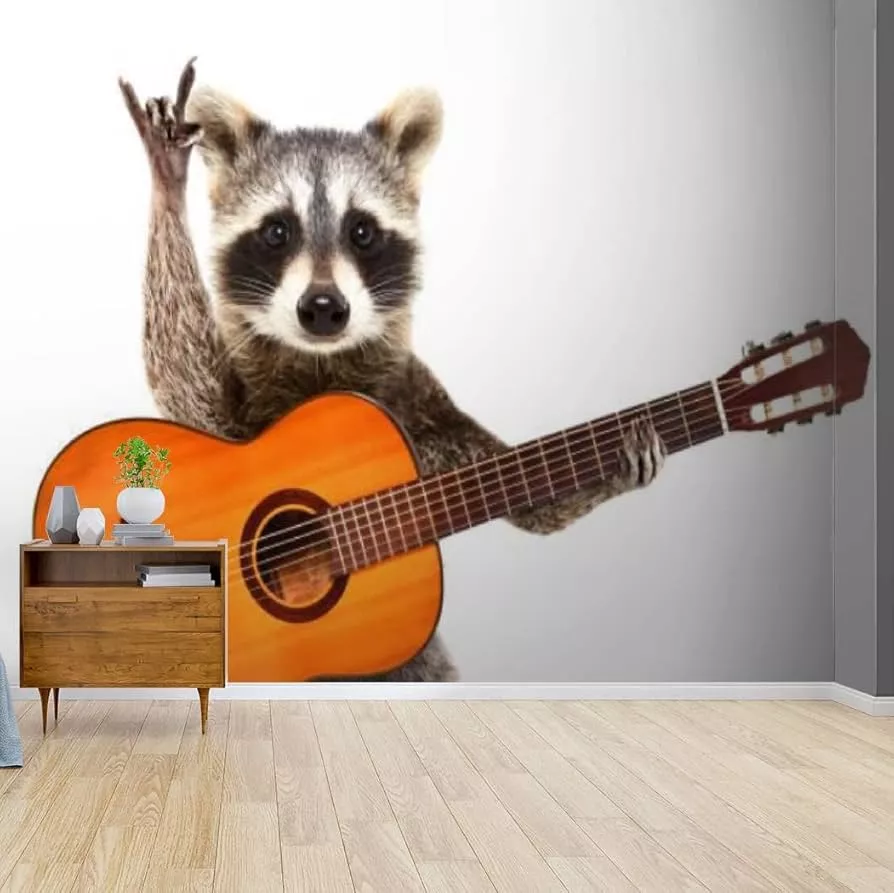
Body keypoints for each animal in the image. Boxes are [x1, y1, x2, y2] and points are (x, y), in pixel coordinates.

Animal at [118, 59, 666, 682]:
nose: (323, 307)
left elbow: (532, 506)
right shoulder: (233, 401)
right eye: (277, 230)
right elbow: (185, 381)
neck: (322, 363)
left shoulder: (417, 399)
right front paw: (167, 179)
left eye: (362, 231)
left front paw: (616, 463)